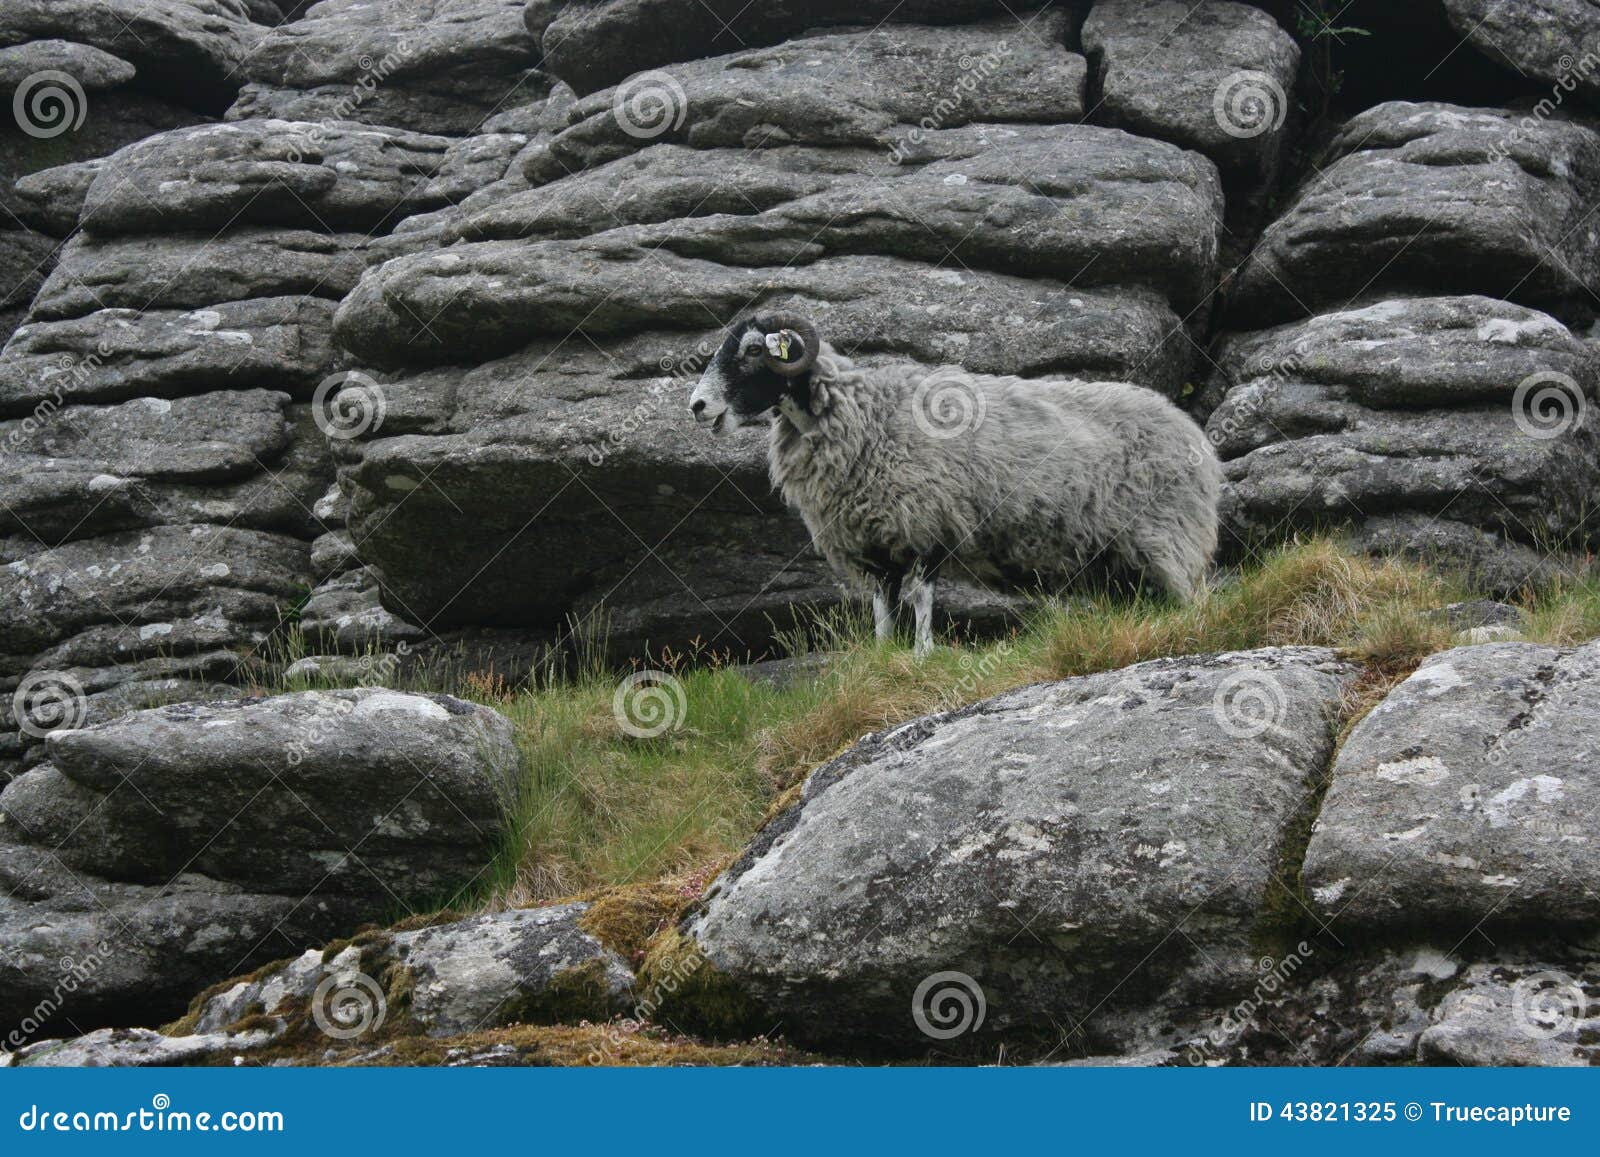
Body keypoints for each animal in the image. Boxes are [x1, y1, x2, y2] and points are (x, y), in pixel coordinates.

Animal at [688, 311, 1222, 657]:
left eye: (752, 350)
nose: (697, 407)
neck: (863, 413)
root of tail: (1193, 433)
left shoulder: (927, 523)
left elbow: (922, 597)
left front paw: (924, 654)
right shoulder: (873, 542)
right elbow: (883, 609)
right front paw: (882, 658)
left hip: (1167, 537)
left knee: (1192, 600)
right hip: (1117, 562)